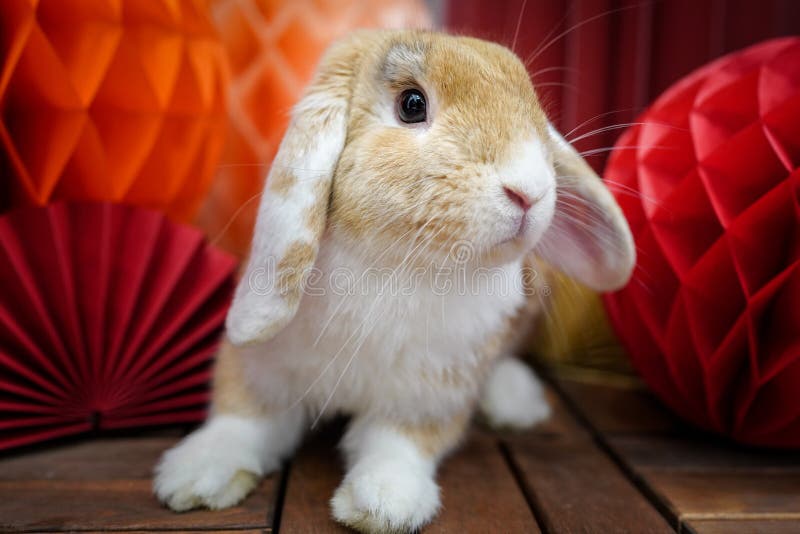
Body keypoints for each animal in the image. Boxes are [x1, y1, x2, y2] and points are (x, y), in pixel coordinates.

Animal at [153, 29, 635, 533]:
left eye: (531, 105)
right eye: (412, 105)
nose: (531, 190)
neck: (398, 266)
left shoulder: (426, 398)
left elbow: (398, 445)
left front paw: (382, 504)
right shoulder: (262, 370)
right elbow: (241, 419)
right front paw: (194, 478)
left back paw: (516, 403)